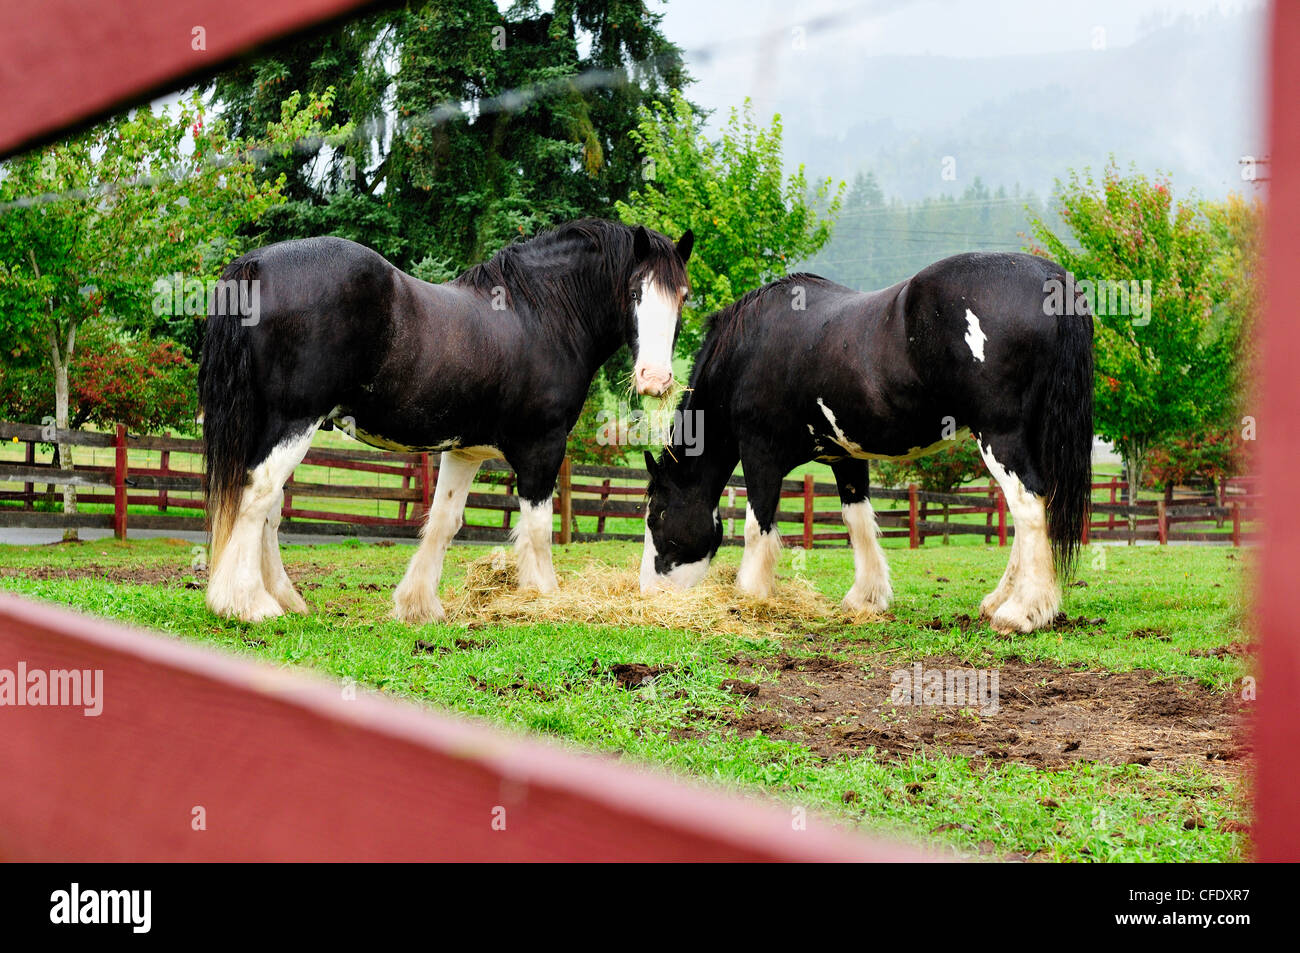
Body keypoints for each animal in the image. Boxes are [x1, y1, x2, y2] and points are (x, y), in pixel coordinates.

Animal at [199, 219, 694, 624]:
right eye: (635, 292)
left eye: (682, 298)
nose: (655, 379)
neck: (540, 315)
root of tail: (257, 263)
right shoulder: (542, 446)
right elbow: (537, 527)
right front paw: (545, 597)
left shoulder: (465, 451)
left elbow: (444, 521)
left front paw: (418, 605)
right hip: (294, 421)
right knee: (257, 496)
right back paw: (248, 604)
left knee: (269, 507)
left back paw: (285, 599)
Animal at [640, 253, 1093, 633]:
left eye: (657, 515)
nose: (649, 592)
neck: (747, 349)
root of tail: (1049, 277)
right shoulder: (847, 456)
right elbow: (857, 521)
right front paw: (866, 598)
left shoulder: (759, 454)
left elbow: (757, 526)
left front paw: (751, 596)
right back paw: (999, 601)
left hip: (1000, 437)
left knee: (1028, 507)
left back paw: (1022, 612)